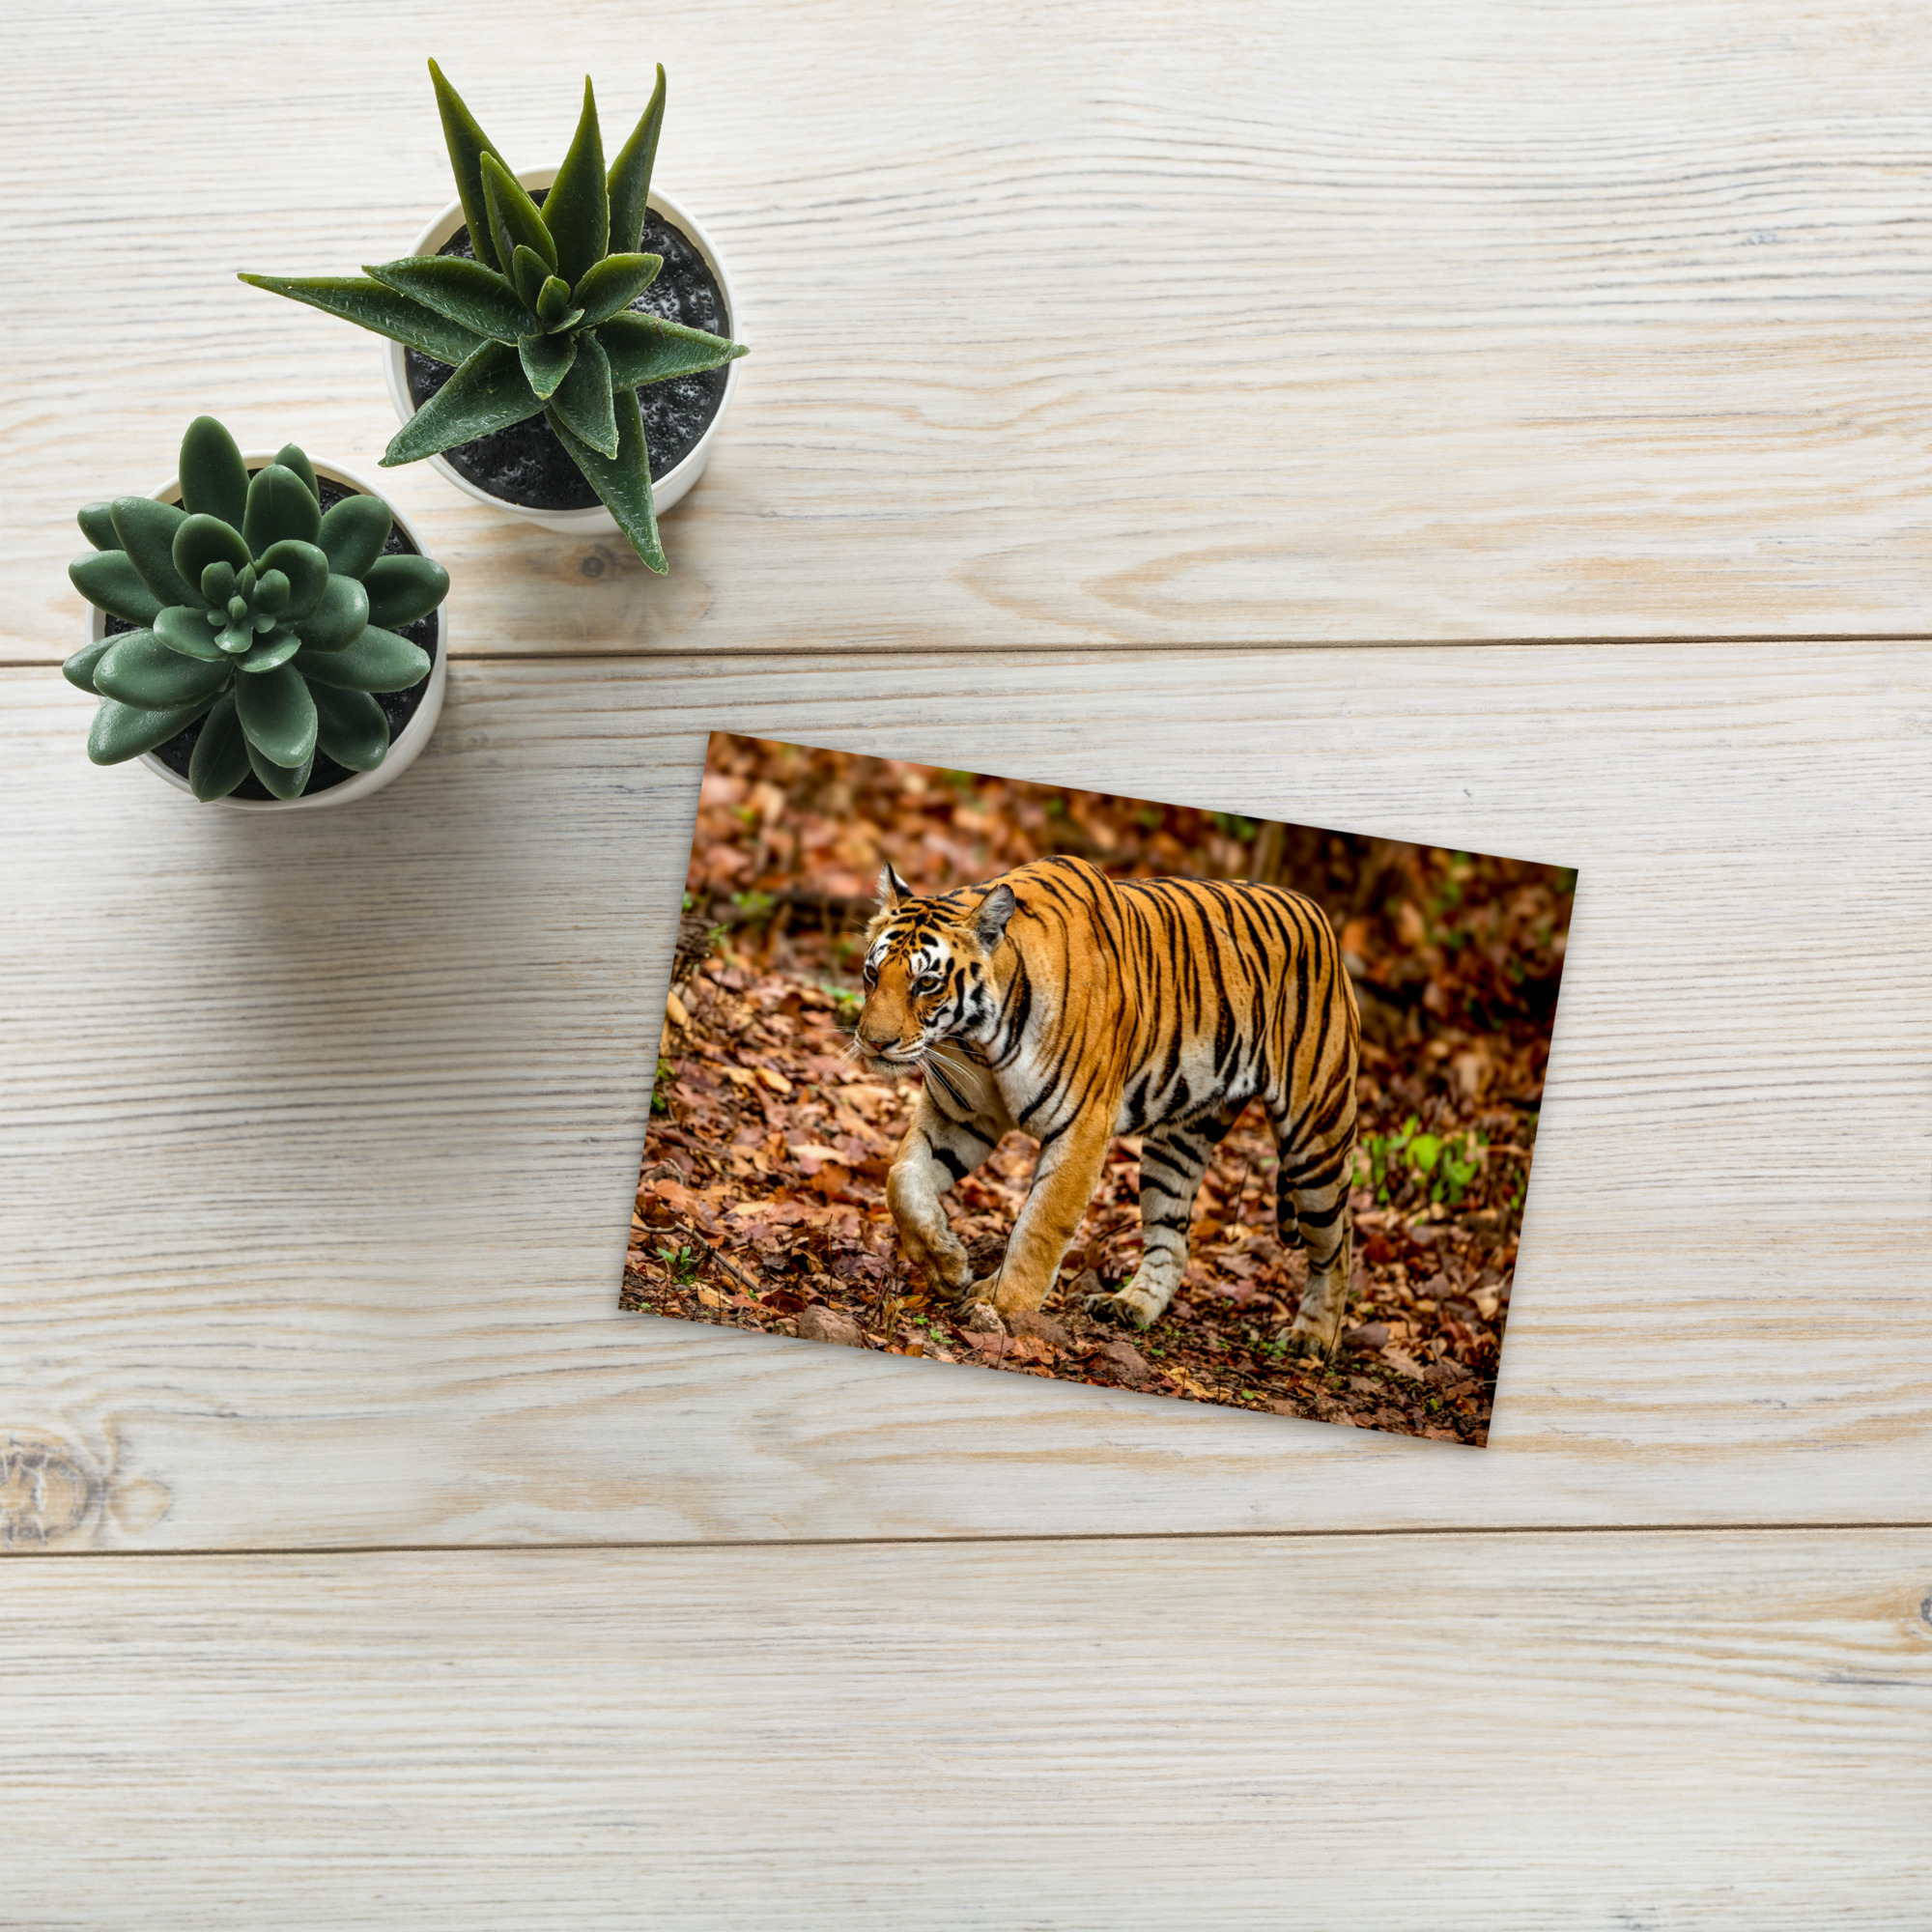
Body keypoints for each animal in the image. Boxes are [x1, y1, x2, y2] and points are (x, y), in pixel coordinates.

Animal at [853, 853, 1361, 1357]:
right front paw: (947, 1264)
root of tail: (1320, 917)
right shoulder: (961, 1116)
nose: (874, 1043)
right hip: (1177, 1144)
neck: (977, 1038)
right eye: (873, 974)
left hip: (1315, 1142)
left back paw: (1314, 1336)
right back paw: (1130, 1305)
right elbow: (902, 1180)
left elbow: (1040, 1225)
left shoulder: (1083, 1126)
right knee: (1172, 1240)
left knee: (1338, 1243)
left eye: (927, 983)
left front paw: (1001, 1303)